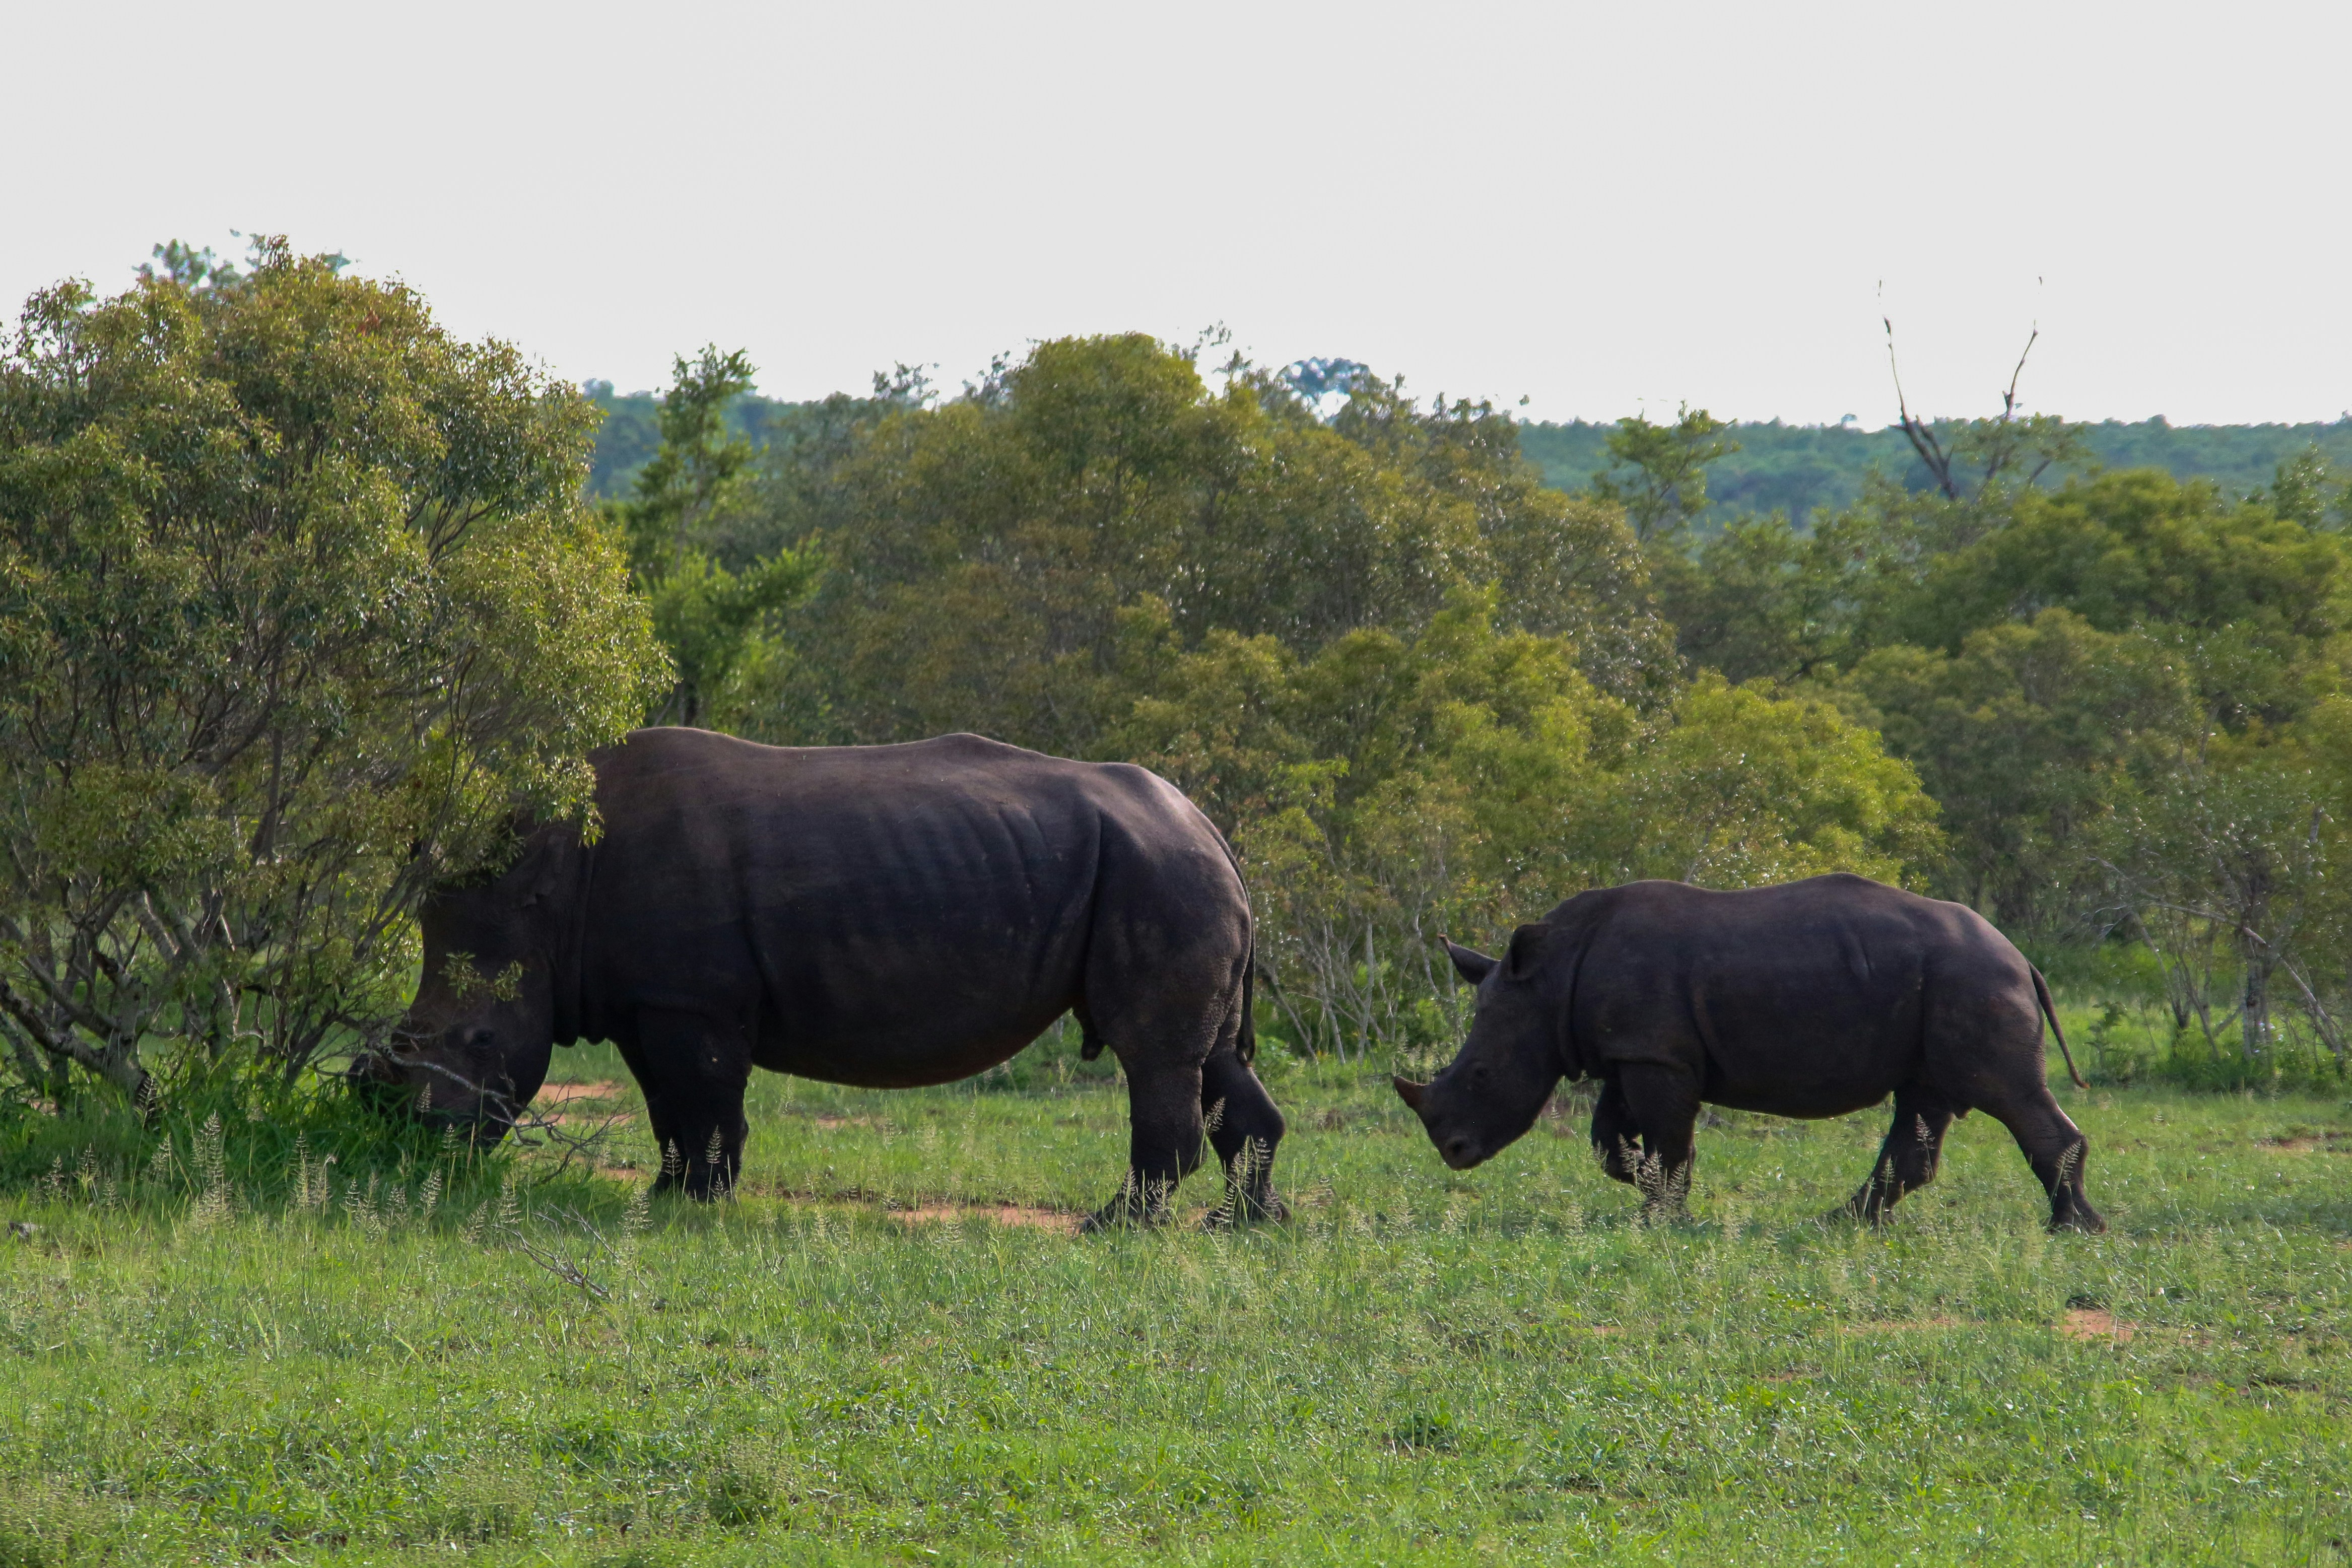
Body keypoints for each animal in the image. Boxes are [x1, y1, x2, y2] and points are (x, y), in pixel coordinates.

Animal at [360, 727, 1284, 1227]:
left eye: (479, 1038)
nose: (424, 1143)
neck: (550, 894)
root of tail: (1210, 824)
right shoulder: (643, 1001)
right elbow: (665, 1107)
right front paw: (667, 1195)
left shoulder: (691, 1001)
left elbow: (704, 1103)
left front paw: (701, 1203)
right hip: (1164, 869)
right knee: (1210, 1059)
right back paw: (1244, 1224)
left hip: (1156, 871)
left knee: (1153, 1055)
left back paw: (1112, 1228)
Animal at [1393, 874, 2104, 1232]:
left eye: (1480, 1074)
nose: (1452, 1152)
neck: (1548, 979)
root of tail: (2020, 955)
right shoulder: (1636, 1049)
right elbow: (1610, 1136)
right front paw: (1647, 1188)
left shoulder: (1654, 1055)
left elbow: (1665, 1135)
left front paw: (1661, 1215)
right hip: (1947, 985)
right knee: (1923, 1100)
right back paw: (1839, 1222)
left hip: (1972, 978)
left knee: (2002, 1093)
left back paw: (2074, 1229)